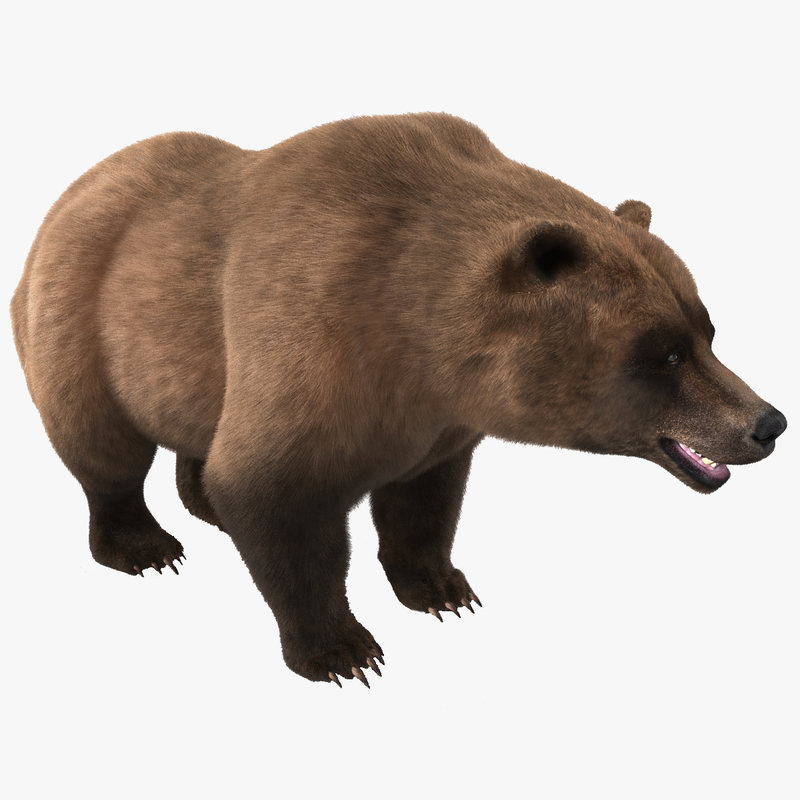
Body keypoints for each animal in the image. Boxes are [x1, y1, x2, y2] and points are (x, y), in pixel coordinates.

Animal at [10, 113, 787, 687]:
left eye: (706, 330)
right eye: (665, 352)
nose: (767, 422)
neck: (419, 335)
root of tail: (71, 192)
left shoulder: (435, 420)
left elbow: (424, 500)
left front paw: (443, 589)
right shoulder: (315, 331)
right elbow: (276, 495)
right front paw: (342, 651)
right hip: (84, 318)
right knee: (102, 447)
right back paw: (144, 546)